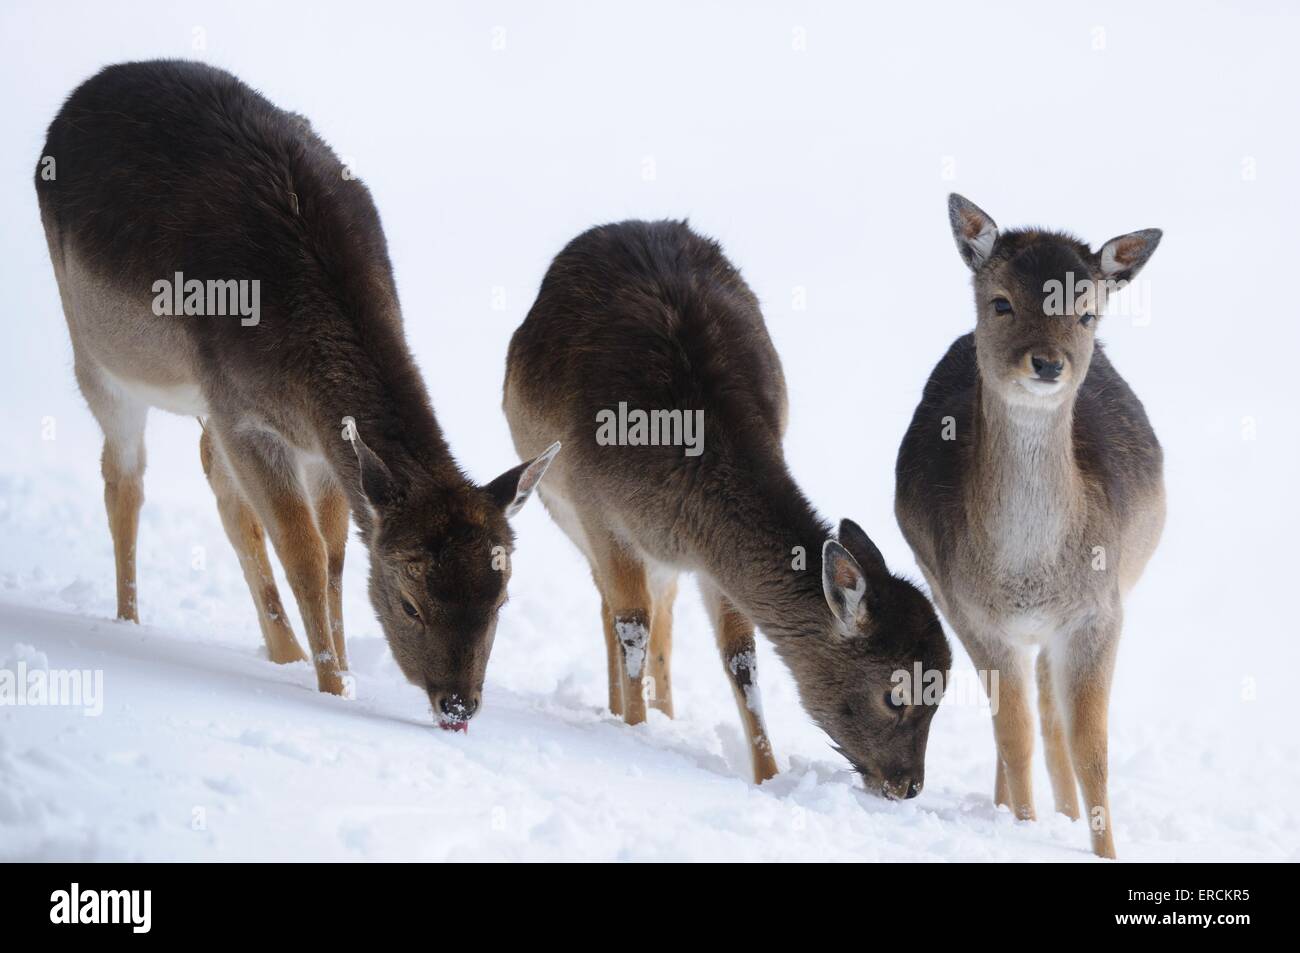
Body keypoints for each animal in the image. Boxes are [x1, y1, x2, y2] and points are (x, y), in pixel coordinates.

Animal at [35, 60, 558, 727]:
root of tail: (84, 92)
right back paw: (129, 621)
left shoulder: (317, 442)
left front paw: (341, 667)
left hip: (202, 404)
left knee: (219, 485)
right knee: (124, 474)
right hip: (97, 353)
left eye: (501, 599)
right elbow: (302, 551)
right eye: (409, 602)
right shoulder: (244, 415)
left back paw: (281, 652)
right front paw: (334, 687)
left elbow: (333, 554)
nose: (458, 705)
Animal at [504, 219, 951, 793]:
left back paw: (667, 713)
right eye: (896, 695)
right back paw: (622, 709)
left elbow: (741, 657)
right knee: (614, 604)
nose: (908, 786)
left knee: (660, 603)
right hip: (559, 504)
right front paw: (633, 731)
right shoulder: (598, 510)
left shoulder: (708, 561)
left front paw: (769, 776)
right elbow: (631, 625)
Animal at [895, 194, 1165, 857]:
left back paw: (1064, 815)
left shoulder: (1100, 611)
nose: (1047, 362)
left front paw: (1104, 849)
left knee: (1051, 711)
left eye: (1087, 312)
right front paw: (1020, 828)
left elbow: (1091, 748)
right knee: (1023, 719)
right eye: (1001, 302)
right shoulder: (973, 614)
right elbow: (1013, 736)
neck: (1030, 572)